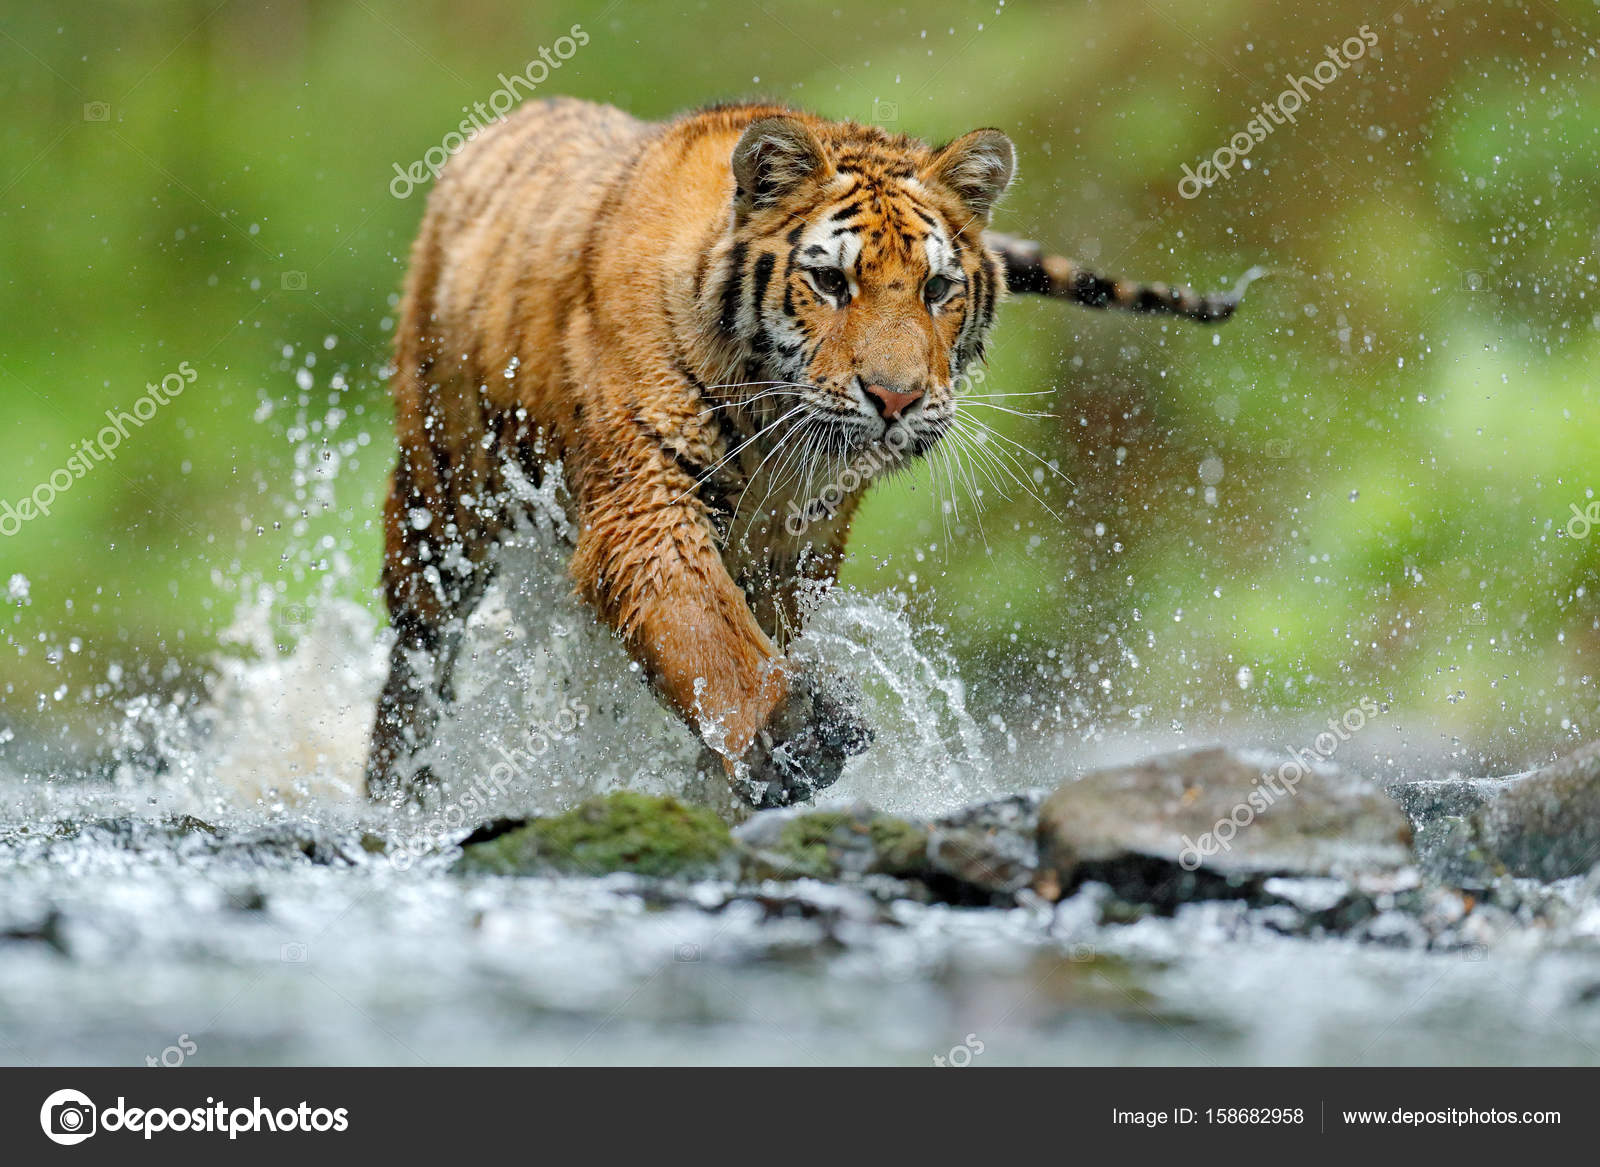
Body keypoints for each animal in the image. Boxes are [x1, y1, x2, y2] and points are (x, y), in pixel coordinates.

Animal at [366, 97, 1258, 809]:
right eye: (831, 282)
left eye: (938, 289)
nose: (895, 398)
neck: (777, 436)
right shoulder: (646, 507)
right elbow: (705, 628)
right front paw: (789, 727)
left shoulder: (798, 553)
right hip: (440, 500)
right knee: (417, 656)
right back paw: (396, 790)